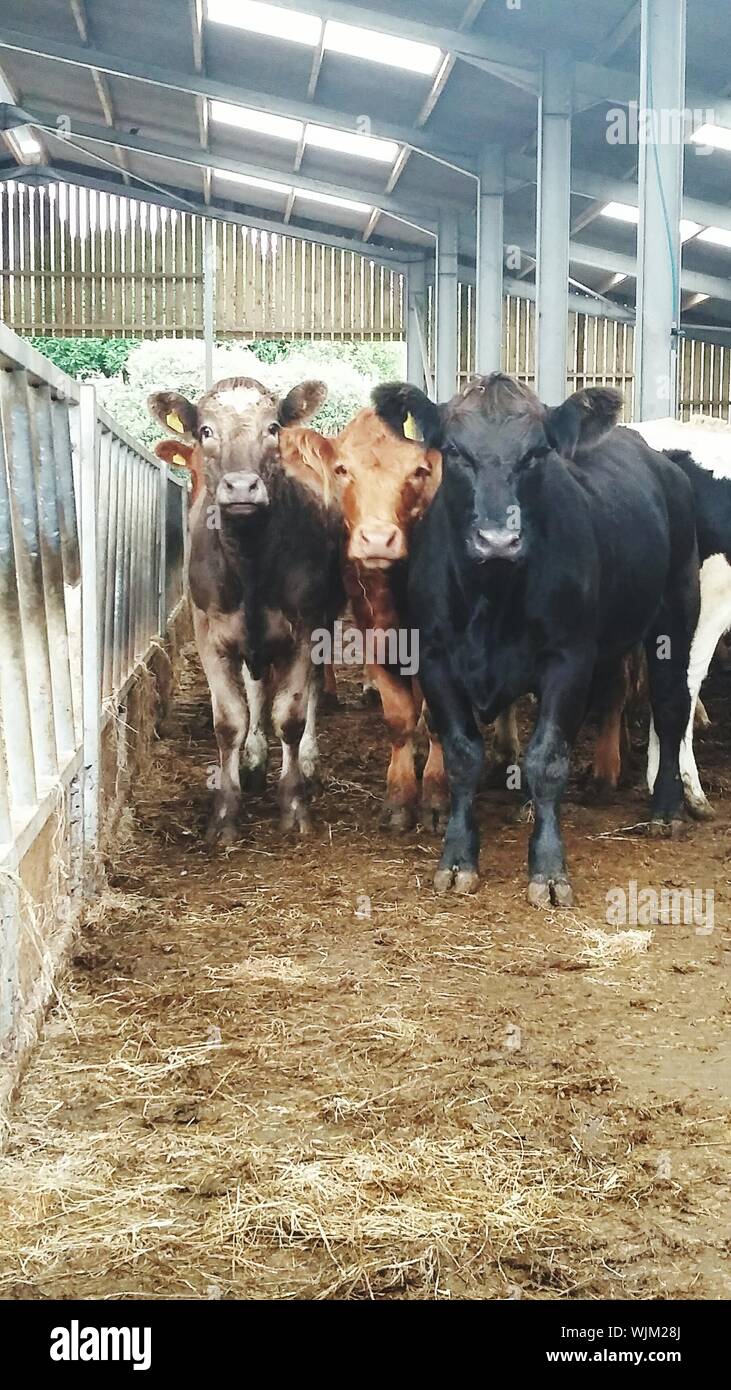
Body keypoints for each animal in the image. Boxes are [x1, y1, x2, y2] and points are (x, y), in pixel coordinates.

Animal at [147, 376, 344, 845]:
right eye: (205, 430)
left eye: (272, 427)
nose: (240, 487)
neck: (251, 562)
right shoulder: (211, 636)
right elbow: (230, 720)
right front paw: (225, 811)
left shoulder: (303, 632)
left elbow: (290, 715)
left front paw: (293, 803)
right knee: (255, 689)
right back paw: (255, 757)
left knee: (310, 689)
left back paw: (308, 759)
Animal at [278, 408, 448, 830]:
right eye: (342, 469)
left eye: (419, 471)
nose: (377, 539)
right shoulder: (376, 634)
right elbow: (399, 718)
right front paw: (400, 798)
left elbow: (437, 717)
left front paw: (436, 797)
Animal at [372, 374, 700, 907]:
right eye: (455, 451)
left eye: (537, 453)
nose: (497, 540)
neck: (491, 600)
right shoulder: (436, 657)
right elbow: (463, 755)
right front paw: (457, 858)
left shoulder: (566, 657)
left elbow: (547, 757)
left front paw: (548, 869)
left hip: (676, 607)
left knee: (671, 705)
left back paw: (667, 809)